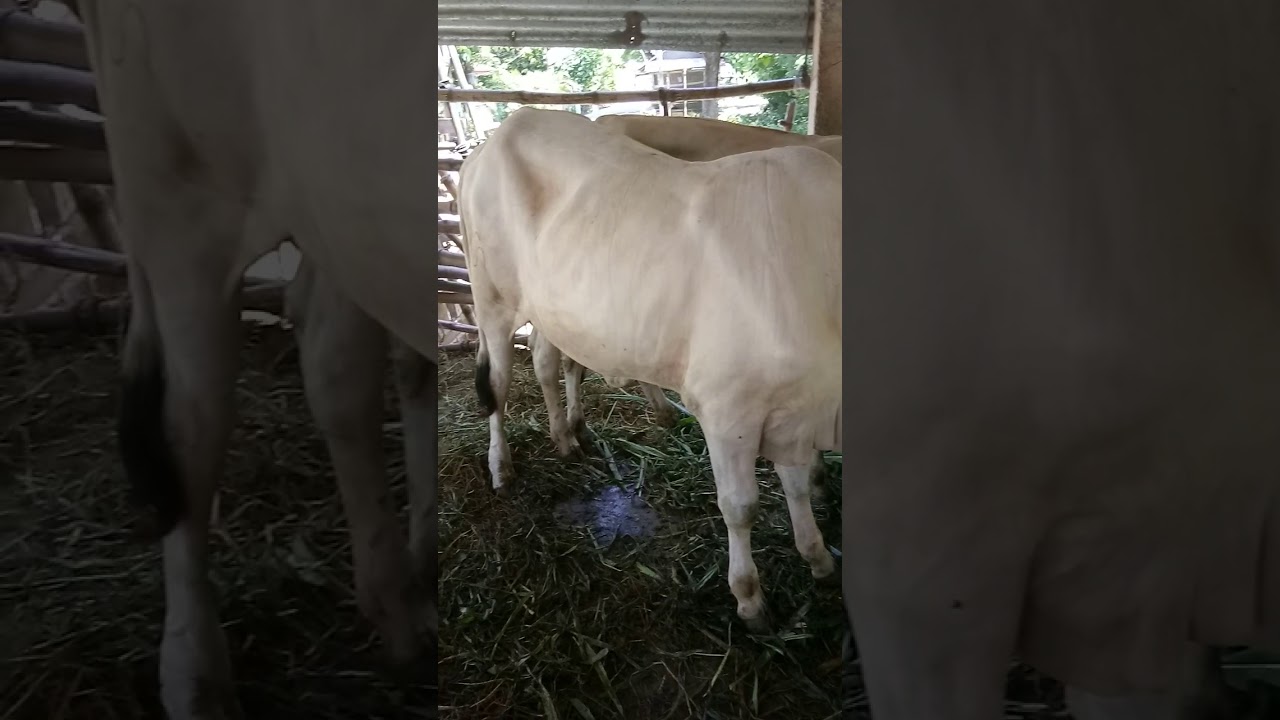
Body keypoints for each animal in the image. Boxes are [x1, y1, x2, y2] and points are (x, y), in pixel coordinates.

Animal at [74, 2, 439, 717]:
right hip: (180, 196)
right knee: (190, 424)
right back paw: (196, 680)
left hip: (340, 203)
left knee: (339, 355)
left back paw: (407, 592)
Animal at [459, 107, 842, 633]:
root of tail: (500, 133)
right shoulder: (728, 410)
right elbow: (740, 507)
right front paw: (749, 598)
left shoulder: (793, 406)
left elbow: (797, 484)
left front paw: (818, 556)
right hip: (491, 296)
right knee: (495, 385)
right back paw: (502, 466)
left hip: (557, 307)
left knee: (545, 358)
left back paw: (566, 437)